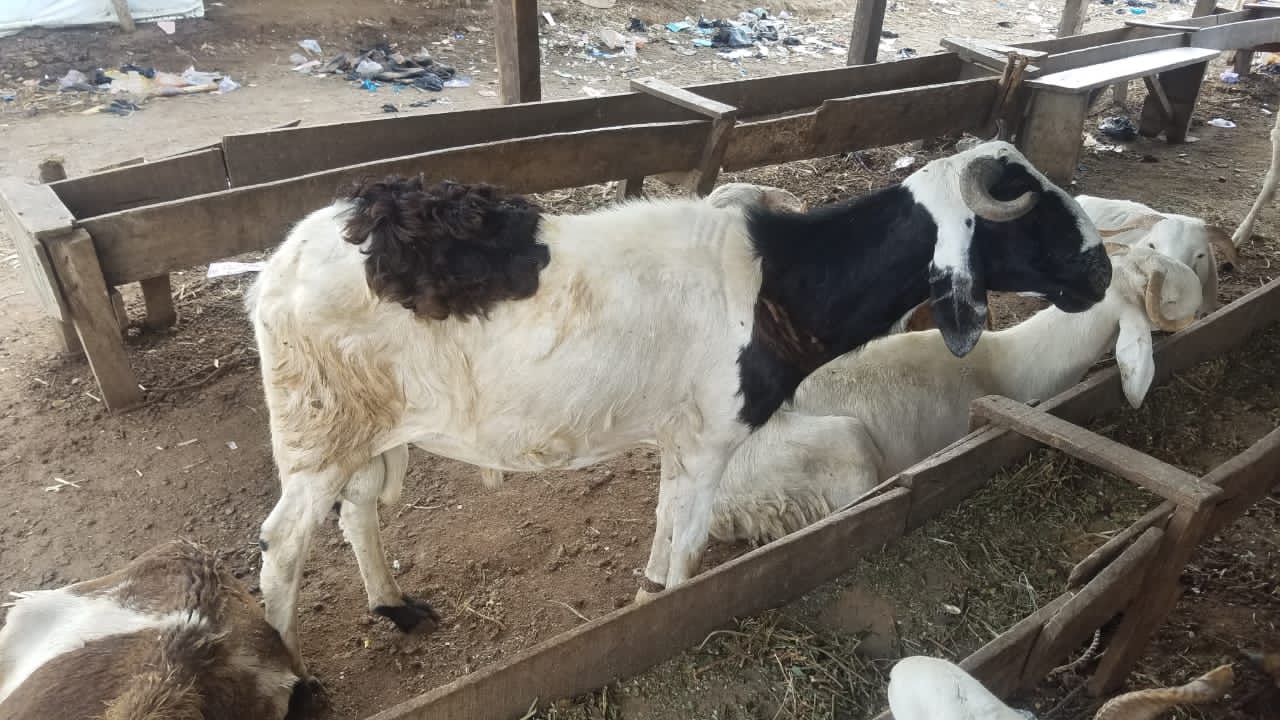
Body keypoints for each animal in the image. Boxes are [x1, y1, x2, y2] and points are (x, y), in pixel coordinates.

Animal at [247, 140, 1112, 663]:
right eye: (1026, 209)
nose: (1099, 273)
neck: (778, 281)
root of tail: (280, 263)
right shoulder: (711, 439)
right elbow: (689, 543)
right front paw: (661, 616)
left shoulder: (680, 438)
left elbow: (665, 531)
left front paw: (644, 602)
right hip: (314, 427)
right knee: (283, 546)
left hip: (364, 425)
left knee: (359, 513)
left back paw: (395, 607)